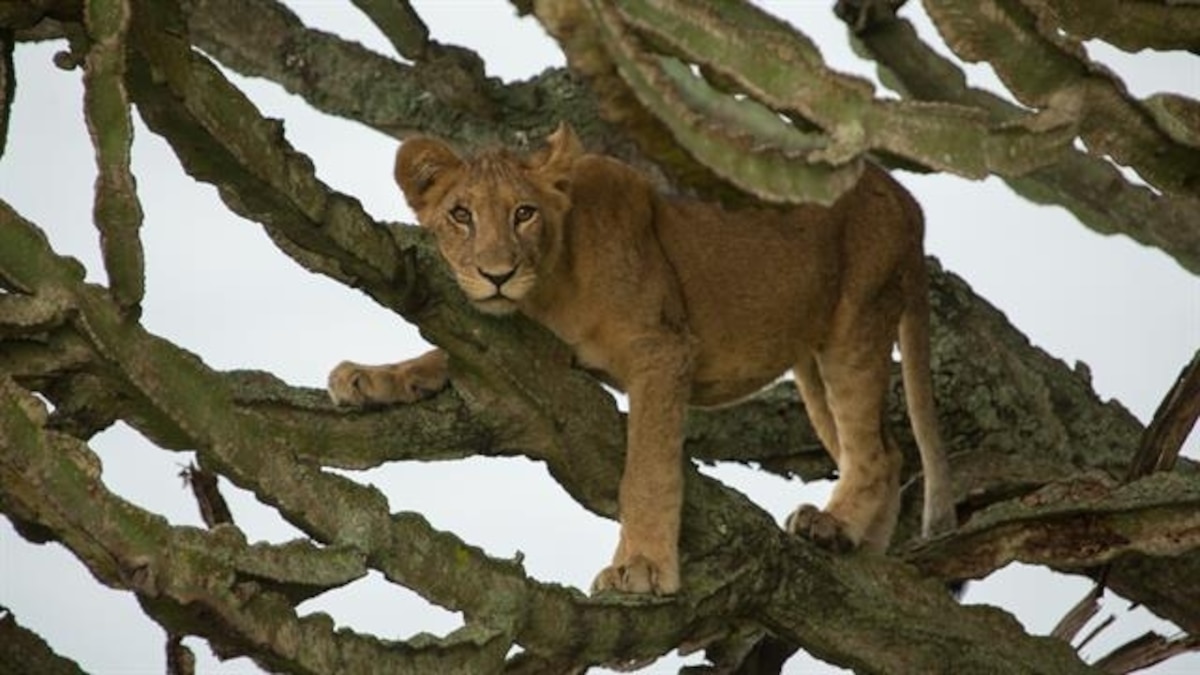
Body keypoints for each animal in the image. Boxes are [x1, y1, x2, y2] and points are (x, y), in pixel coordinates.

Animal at [328, 125, 955, 595]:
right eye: (461, 215)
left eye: (524, 213)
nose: (496, 273)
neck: (550, 281)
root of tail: (904, 196)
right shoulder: (531, 346)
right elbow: (445, 353)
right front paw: (371, 379)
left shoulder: (663, 350)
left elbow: (648, 469)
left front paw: (642, 567)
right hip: (813, 360)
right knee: (889, 450)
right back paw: (860, 548)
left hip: (857, 321)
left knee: (872, 453)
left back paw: (832, 526)